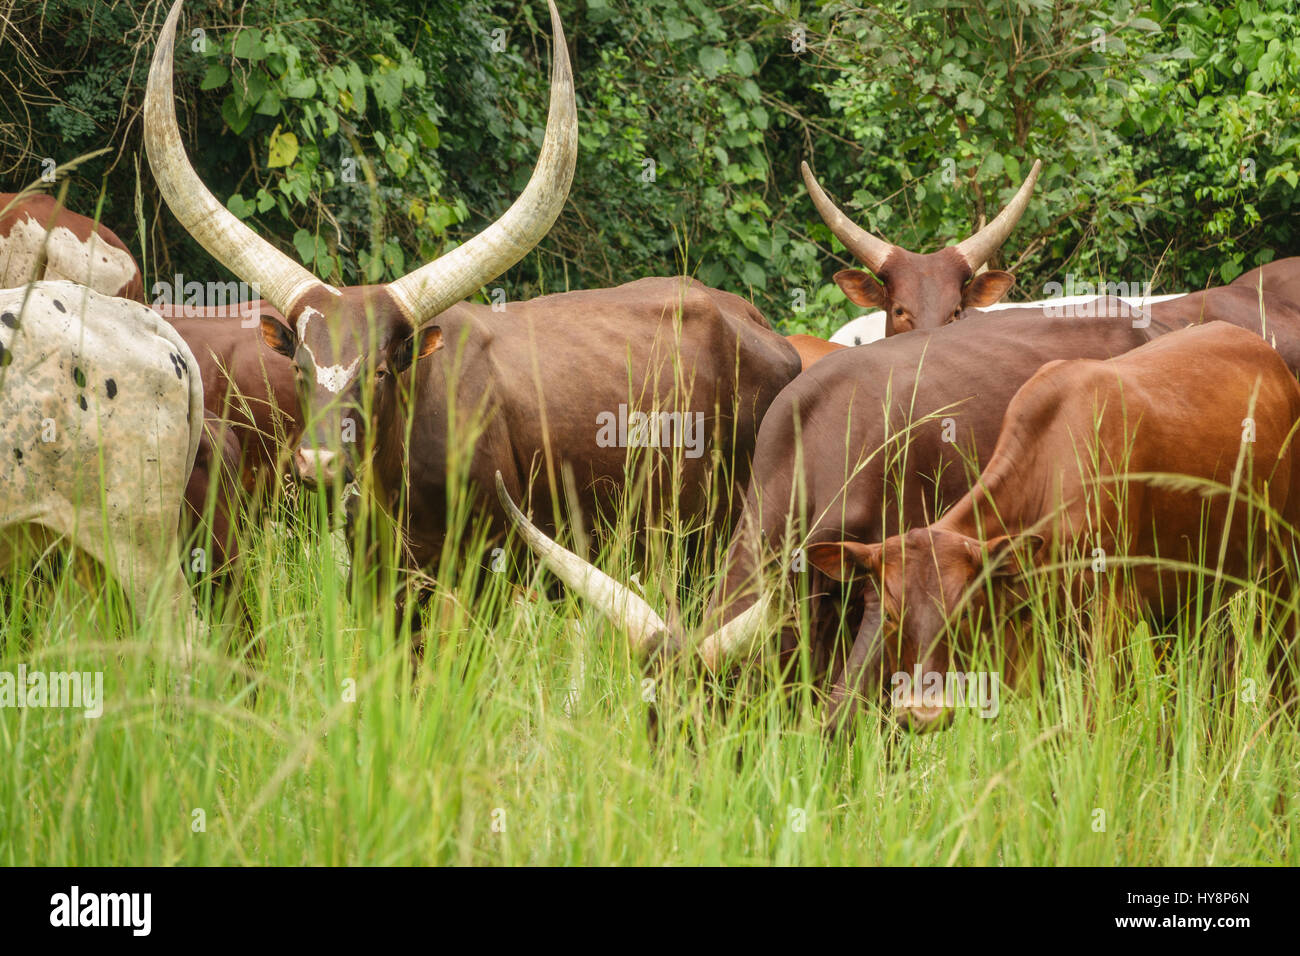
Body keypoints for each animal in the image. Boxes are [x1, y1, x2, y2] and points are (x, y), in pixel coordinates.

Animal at [804, 322, 1300, 730]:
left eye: (965, 611)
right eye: (890, 614)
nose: (923, 715)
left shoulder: (1110, 617)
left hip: (1281, 568)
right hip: (1197, 593)